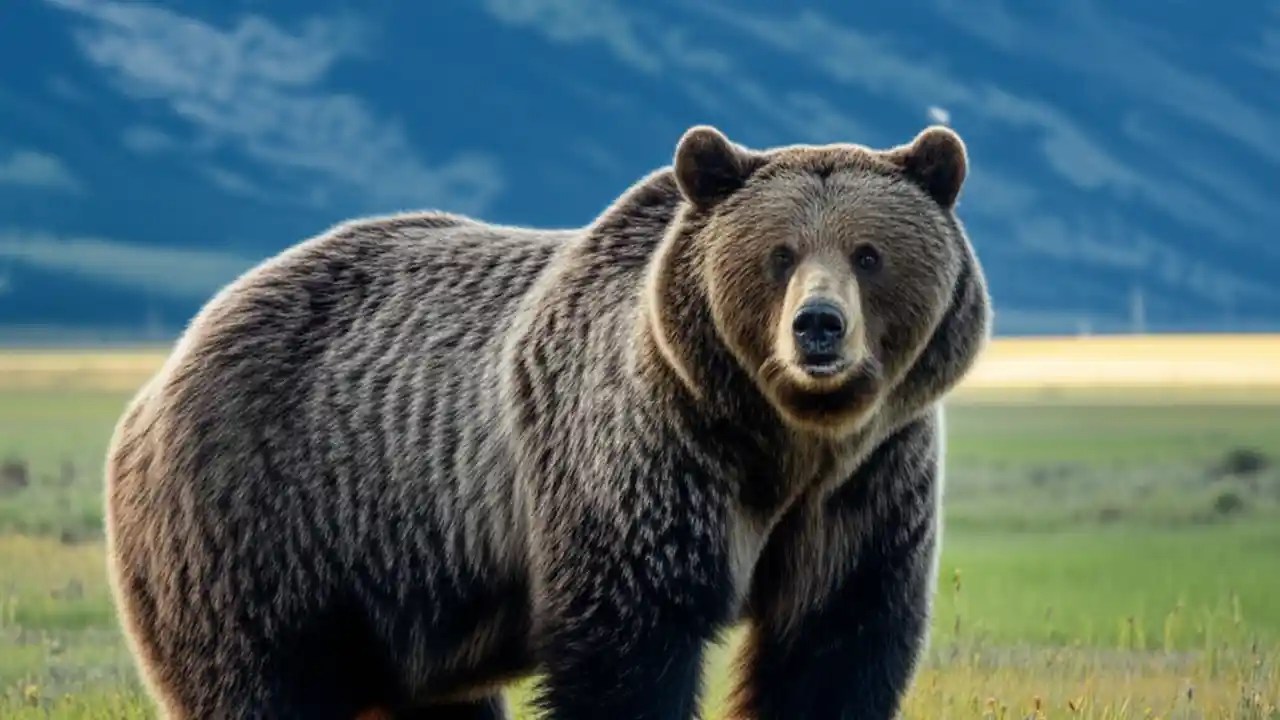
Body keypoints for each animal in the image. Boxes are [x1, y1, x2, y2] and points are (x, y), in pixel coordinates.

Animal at [104, 122, 991, 720]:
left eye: (869, 253)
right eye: (778, 254)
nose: (818, 327)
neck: (782, 441)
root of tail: (169, 364)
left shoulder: (869, 484)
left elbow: (837, 642)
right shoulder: (644, 457)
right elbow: (628, 646)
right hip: (261, 525)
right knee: (253, 682)